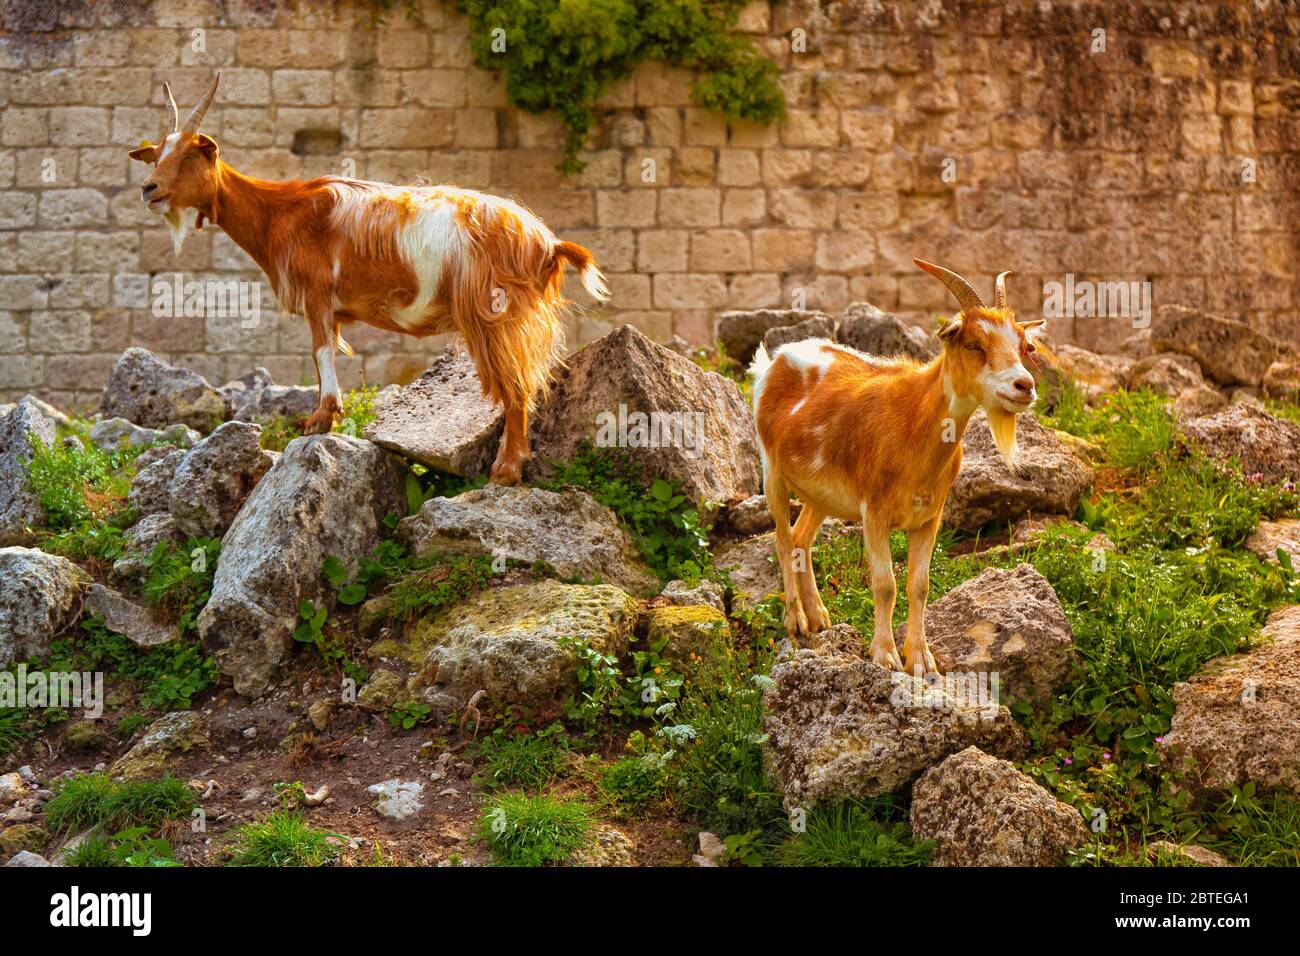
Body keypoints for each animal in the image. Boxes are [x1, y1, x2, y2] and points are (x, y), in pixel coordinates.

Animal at [127, 74, 609, 484]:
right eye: (158, 154)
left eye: (191, 154)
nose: (149, 189)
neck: (281, 212)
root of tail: (547, 242)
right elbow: (323, 356)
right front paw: (323, 418)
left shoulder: (318, 295)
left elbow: (321, 351)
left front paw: (319, 421)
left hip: (495, 316)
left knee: (517, 386)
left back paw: (506, 471)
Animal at [749, 259, 1046, 674]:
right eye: (973, 344)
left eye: (1023, 345)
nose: (1024, 385)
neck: (914, 421)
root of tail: (775, 360)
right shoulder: (874, 514)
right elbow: (885, 584)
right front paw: (885, 655)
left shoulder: (928, 518)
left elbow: (918, 586)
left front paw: (921, 659)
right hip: (771, 471)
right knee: (781, 538)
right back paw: (797, 621)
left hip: (819, 493)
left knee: (800, 538)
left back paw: (820, 616)